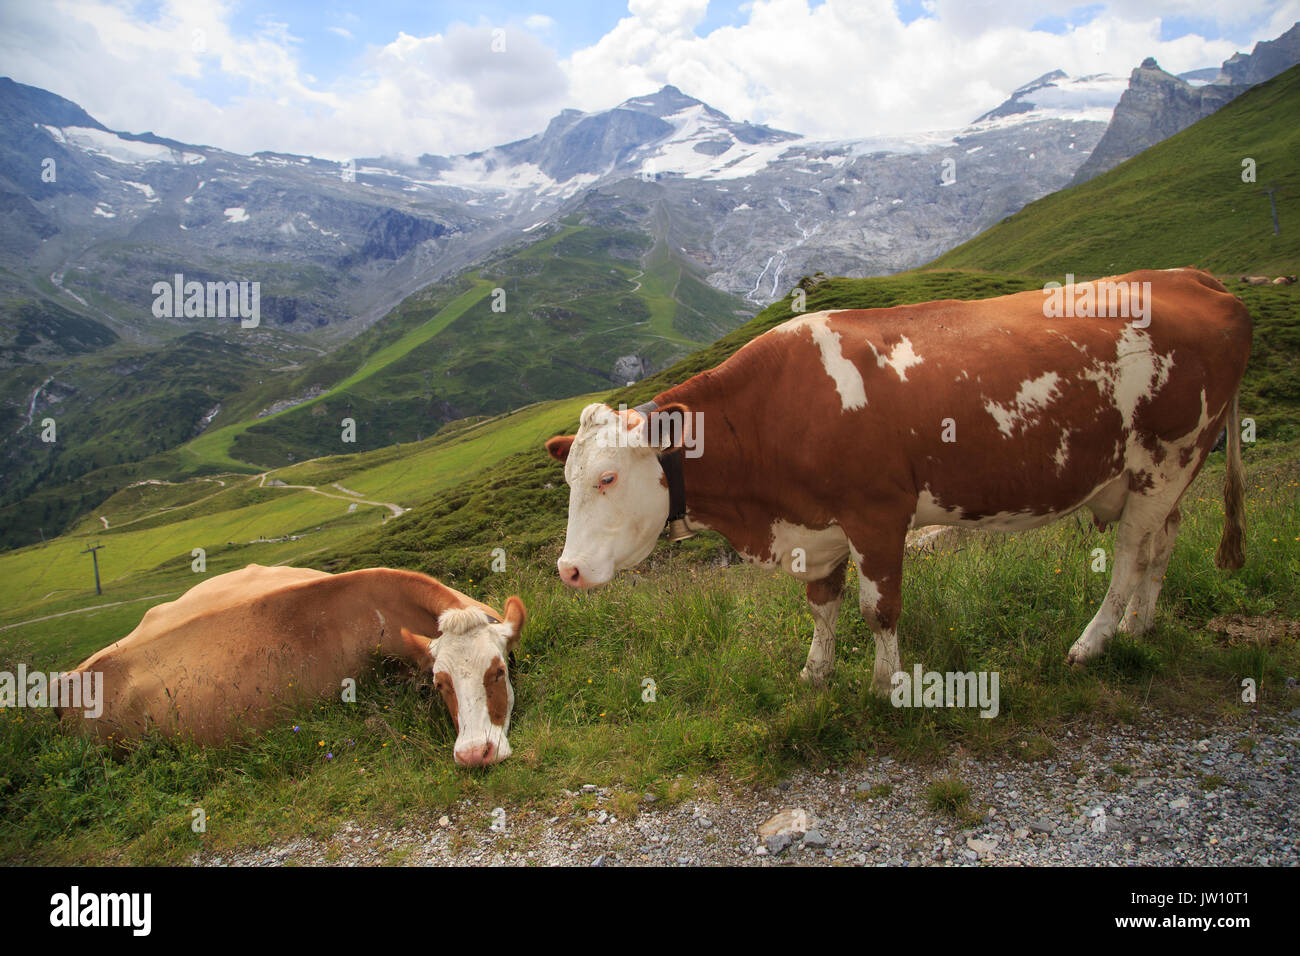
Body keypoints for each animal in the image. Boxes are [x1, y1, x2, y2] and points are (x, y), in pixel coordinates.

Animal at [546, 268, 1250, 693]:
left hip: (1167, 458)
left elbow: (877, 609)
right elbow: (822, 604)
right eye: (570, 481)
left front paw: (888, 685)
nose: (568, 570)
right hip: (1166, 472)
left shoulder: (878, 513)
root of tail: (1190, 276)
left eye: (606, 478)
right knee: (1163, 543)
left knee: (1131, 554)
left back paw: (1094, 640)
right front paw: (815, 673)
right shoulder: (818, 526)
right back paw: (1139, 627)